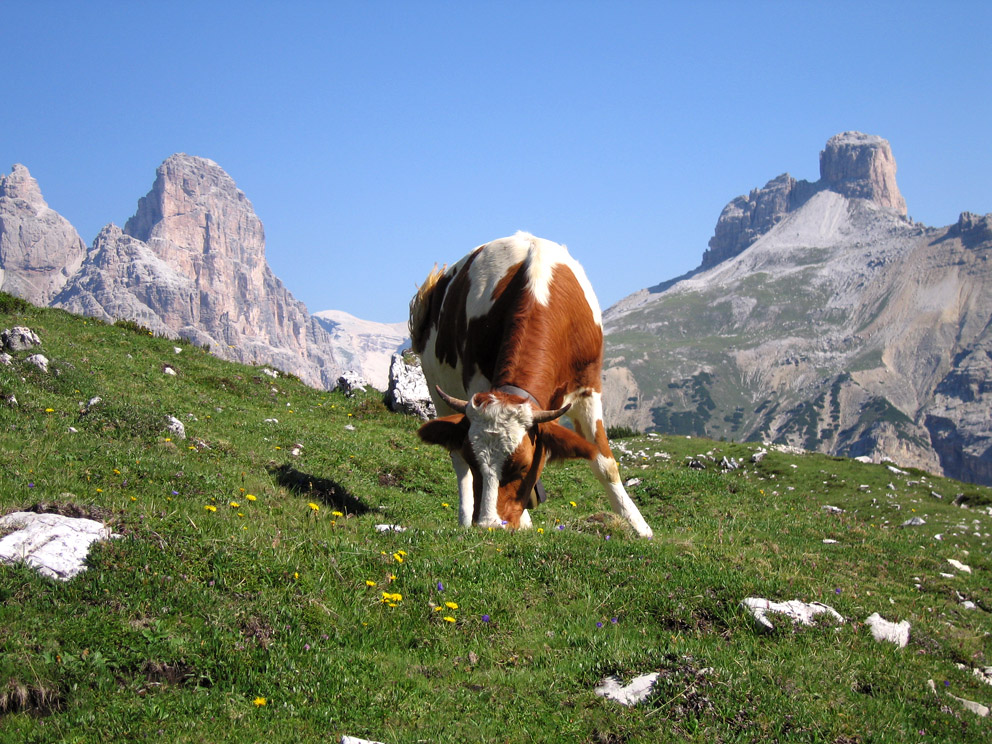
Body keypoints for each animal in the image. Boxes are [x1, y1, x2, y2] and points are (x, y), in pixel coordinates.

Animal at [408, 232, 653, 538]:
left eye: (523, 466)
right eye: (477, 462)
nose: (489, 525)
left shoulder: (589, 390)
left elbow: (605, 462)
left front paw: (639, 526)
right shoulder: (477, 386)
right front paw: (520, 519)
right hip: (437, 391)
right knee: (456, 461)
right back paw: (468, 516)